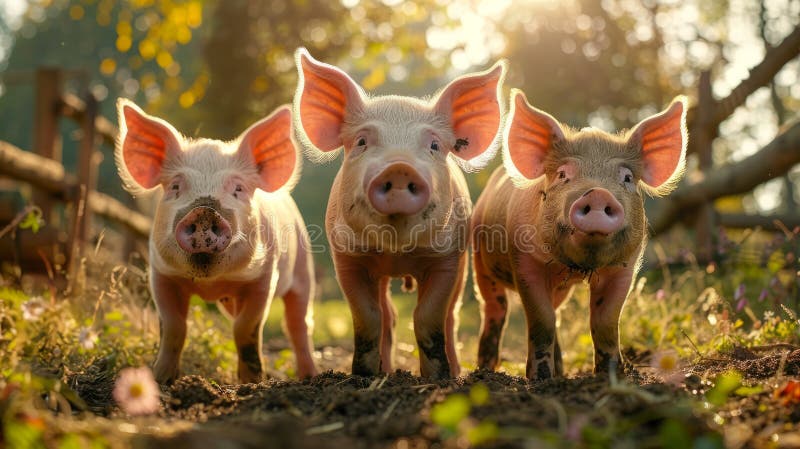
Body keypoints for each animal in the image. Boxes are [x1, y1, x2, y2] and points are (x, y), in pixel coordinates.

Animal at [115, 99, 317, 384]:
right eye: (175, 186)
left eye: (238, 188)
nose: (204, 211)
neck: (211, 283)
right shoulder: (160, 274)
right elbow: (174, 326)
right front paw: (161, 379)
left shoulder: (265, 277)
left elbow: (246, 327)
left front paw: (251, 383)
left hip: (303, 269)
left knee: (298, 324)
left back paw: (310, 376)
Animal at [292, 48, 506, 379]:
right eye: (362, 141)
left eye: (434, 145)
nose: (399, 167)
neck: (396, 253)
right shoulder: (348, 258)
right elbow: (369, 317)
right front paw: (364, 376)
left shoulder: (447, 258)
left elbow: (428, 317)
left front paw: (437, 377)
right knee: (389, 315)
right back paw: (387, 372)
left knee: (451, 316)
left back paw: (455, 371)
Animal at [471, 90, 687, 380]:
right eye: (563, 174)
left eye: (627, 178)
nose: (598, 193)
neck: (578, 267)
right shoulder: (525, 262)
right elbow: (541, 321)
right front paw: (540, 379)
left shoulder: (624, 268)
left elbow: (605, 322)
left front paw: (610, 375)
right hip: (480, 263)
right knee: (495, 308)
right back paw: (484, 370)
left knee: (556, 312)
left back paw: (561, 372)